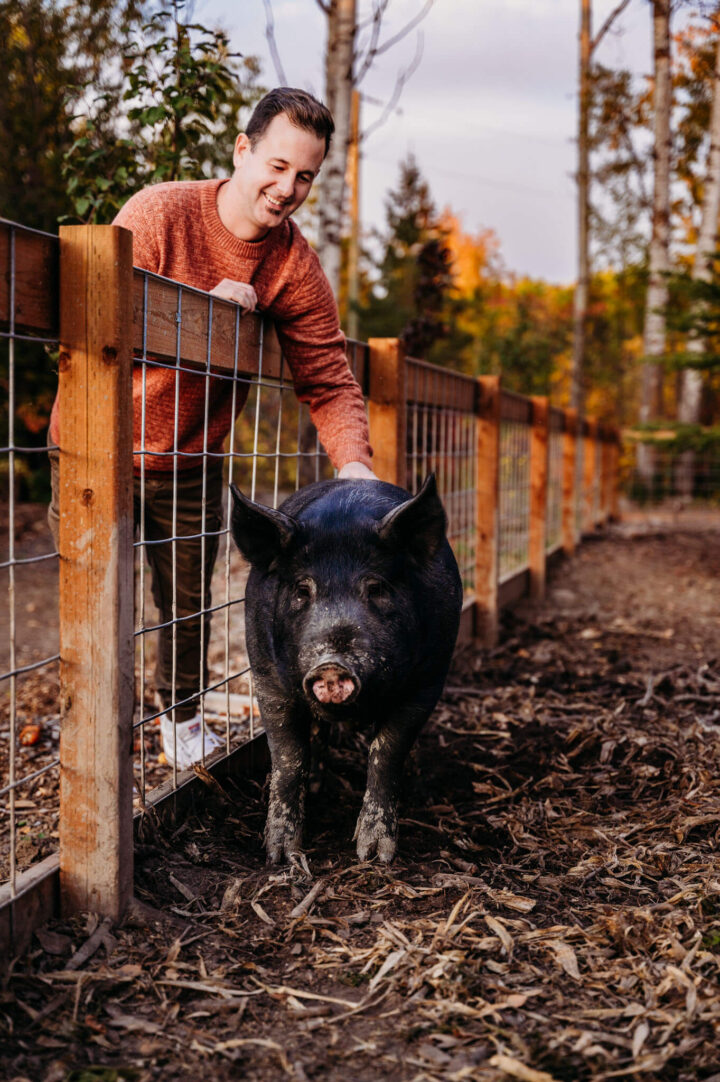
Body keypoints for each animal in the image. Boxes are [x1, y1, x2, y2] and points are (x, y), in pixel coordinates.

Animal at [229, 474, 463, 864]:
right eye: (302, 588)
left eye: (376, 587)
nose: (331, 665)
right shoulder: (266, 676)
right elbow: (289, 758)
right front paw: (279, 855)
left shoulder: (428, 679)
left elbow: (386, 754)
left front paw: (375, 855)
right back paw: (317, 785)